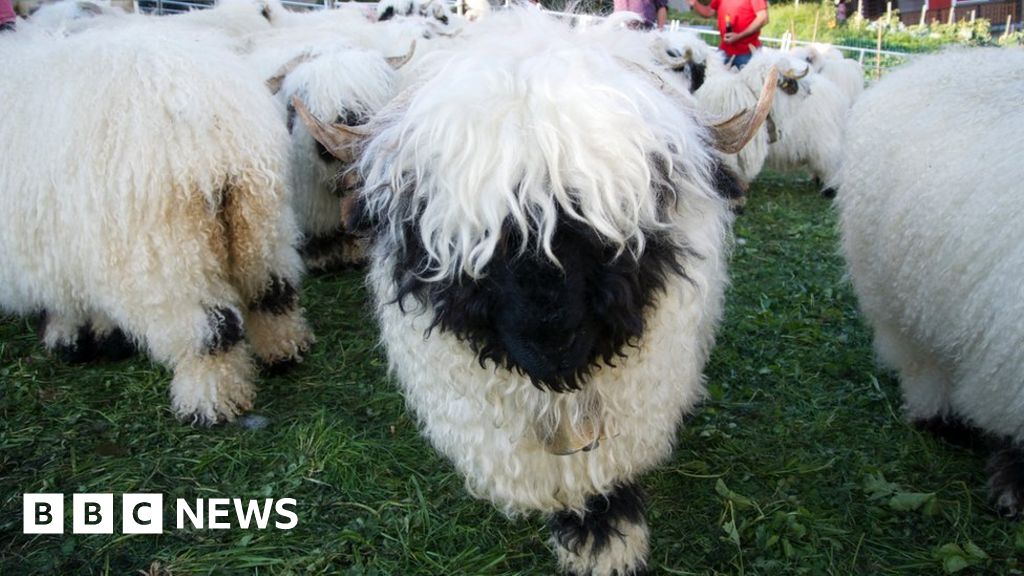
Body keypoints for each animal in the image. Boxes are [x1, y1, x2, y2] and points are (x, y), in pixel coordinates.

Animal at [0, 23, 313, 424]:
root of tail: (217, 137)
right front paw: (103, 335)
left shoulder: (51, 248)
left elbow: (62, 302)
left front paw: (67, 338)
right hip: (261, 223)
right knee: (272, 291)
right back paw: (283, 351)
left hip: (167, 255)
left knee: (210, 332)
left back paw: (209, 403)